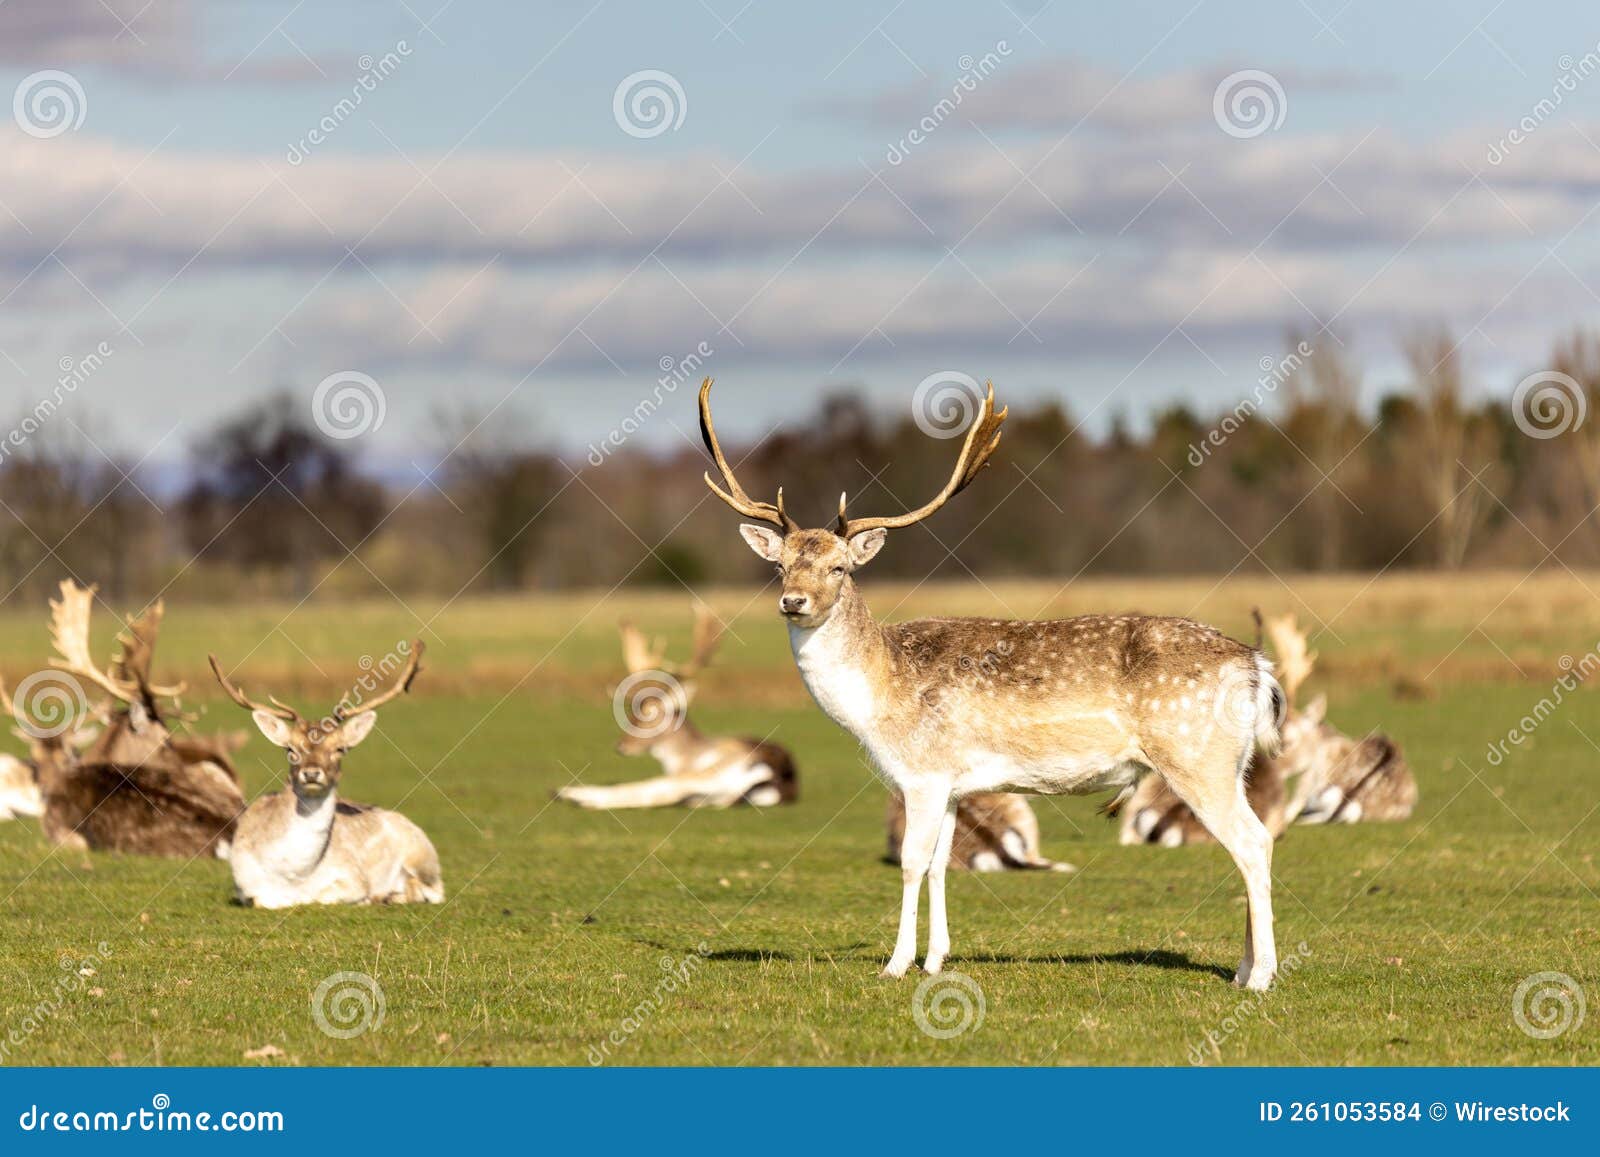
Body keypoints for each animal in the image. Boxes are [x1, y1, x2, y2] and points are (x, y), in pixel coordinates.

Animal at [208, 643, 444, 909]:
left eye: (339, 749)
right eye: (290, 749)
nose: (311, 773)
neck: (293, 876)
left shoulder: (352, 878)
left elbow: (324, 896)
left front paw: (368, 898)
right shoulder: (243, 885)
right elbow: (261, 899)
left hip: (422, 855)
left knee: (434, 891)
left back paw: (390, 895)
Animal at [557, 607, 798, 810]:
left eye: (652, 714)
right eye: (632, 710)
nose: (621, 746)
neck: (684, 755)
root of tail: (779, 778)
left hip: (713, 772)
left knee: (659, 787)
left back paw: (572, 795)